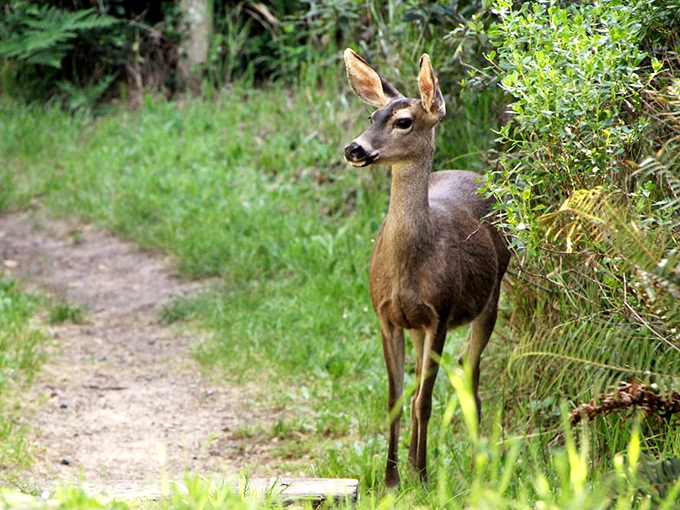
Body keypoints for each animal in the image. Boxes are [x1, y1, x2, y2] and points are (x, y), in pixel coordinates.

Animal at [342, 49, 510, 488]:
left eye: (404, 121)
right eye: (373, 116)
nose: (355, 149)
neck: (409, 263)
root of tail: (472, 173)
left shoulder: (441, 313)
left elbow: (425, 399)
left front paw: (420, 475)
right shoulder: (387, 316)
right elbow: (397, 398)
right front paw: (391, 479)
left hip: (492, 293)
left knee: (469, 371)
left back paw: (477, 464)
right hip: (416, 325)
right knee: (430, 378)